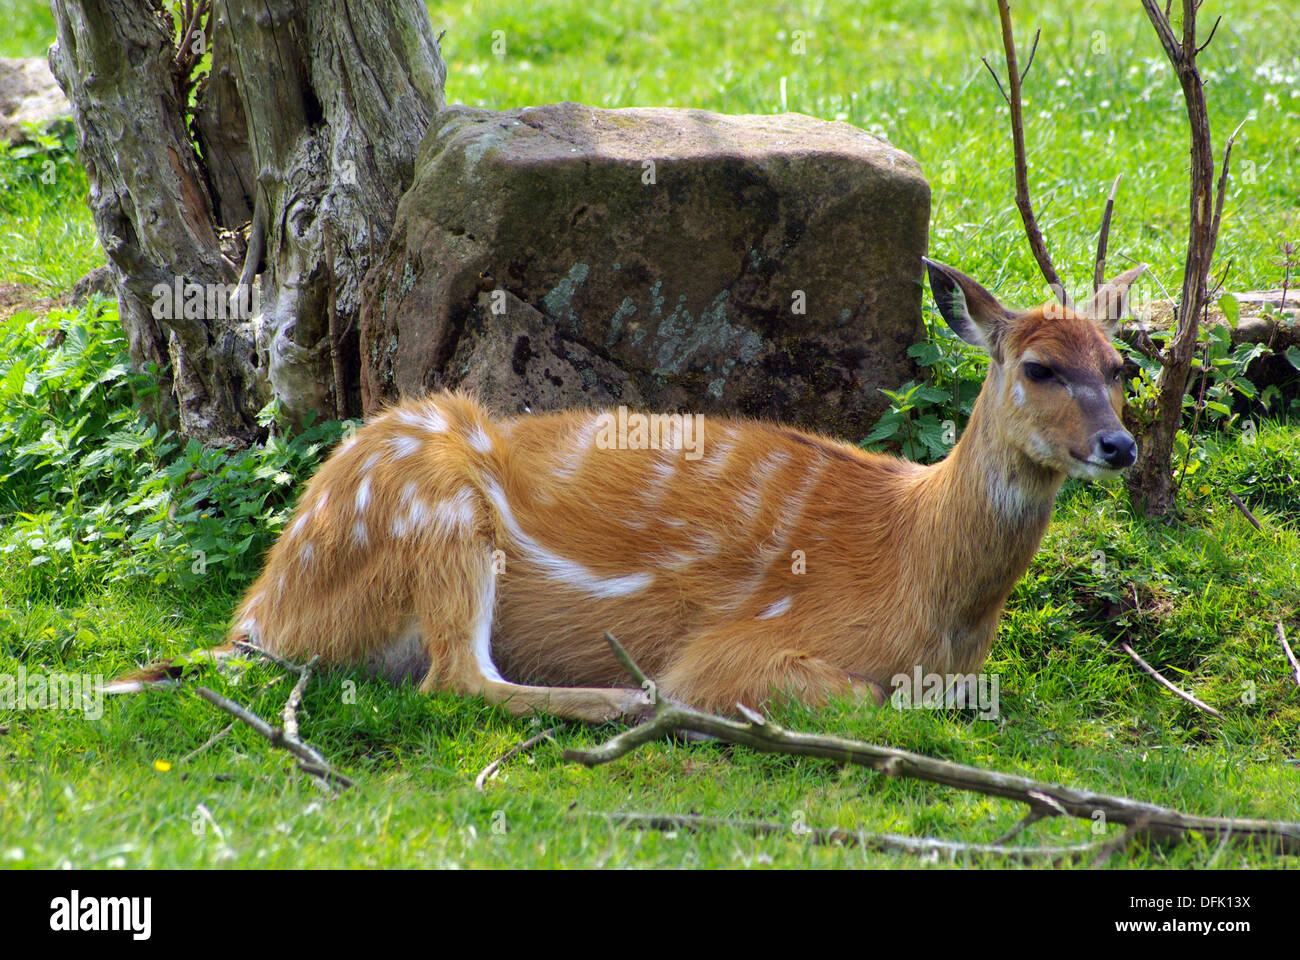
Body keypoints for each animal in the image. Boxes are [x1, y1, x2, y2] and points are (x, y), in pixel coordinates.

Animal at [116, 259, 1145, 721]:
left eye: (1121, 364)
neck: (919, 569)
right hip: (438, 510)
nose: (1122, 445)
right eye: (1040, 367)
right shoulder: (742, 648)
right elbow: (861, 698)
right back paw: (630, 704)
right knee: (458, 679)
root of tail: (262, 611)